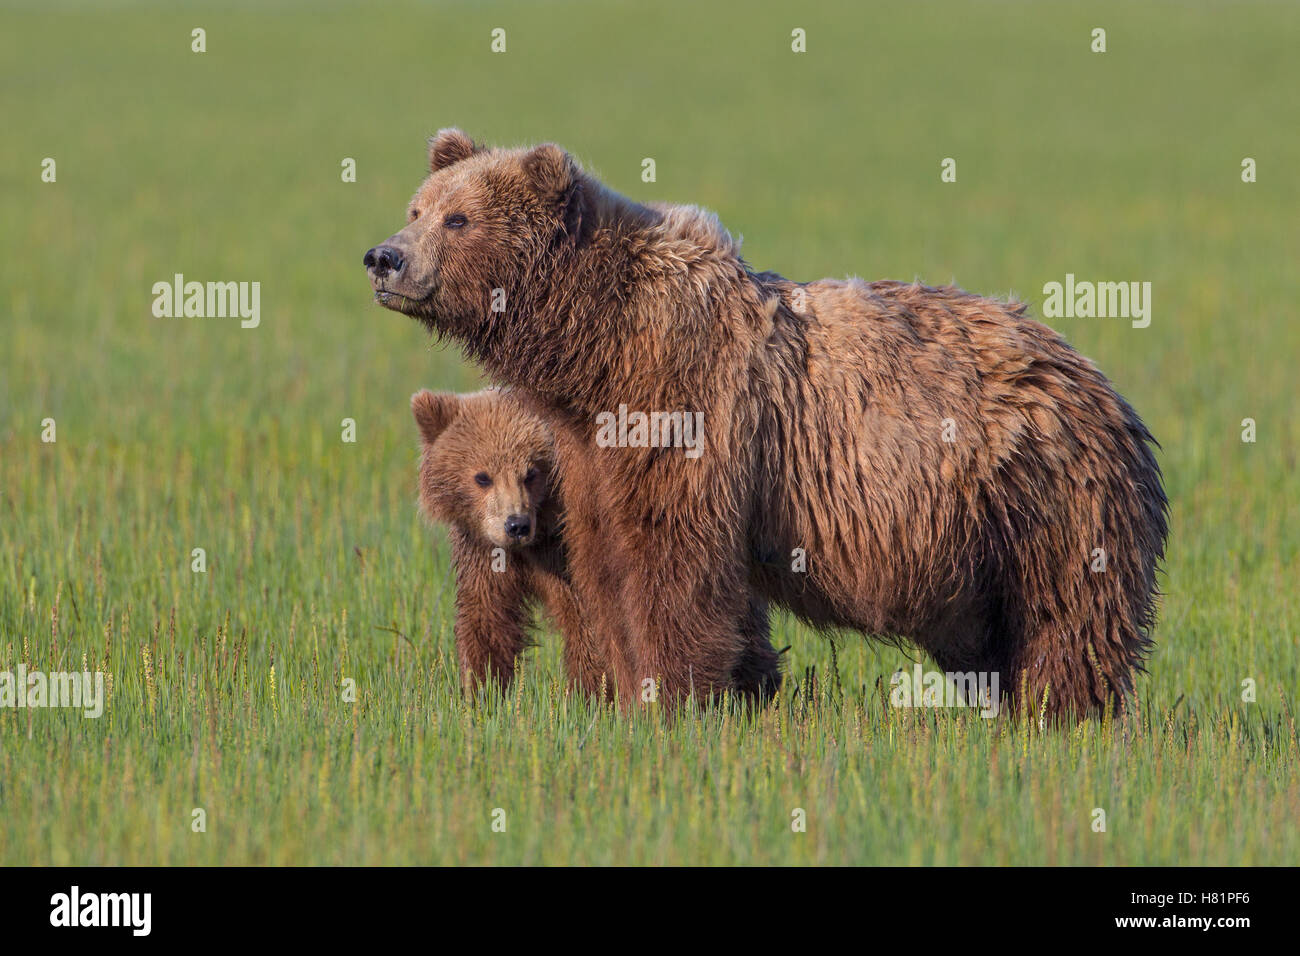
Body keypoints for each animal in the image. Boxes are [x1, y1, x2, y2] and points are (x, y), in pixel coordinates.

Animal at [411, 387, 782, 703]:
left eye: (531, 472)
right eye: (482, 476)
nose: (516, 524)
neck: (538, 538)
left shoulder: (568, 552)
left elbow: (588, 622)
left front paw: (591, 696)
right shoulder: (485, 549)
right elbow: (486, 617)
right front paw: (480, 692)